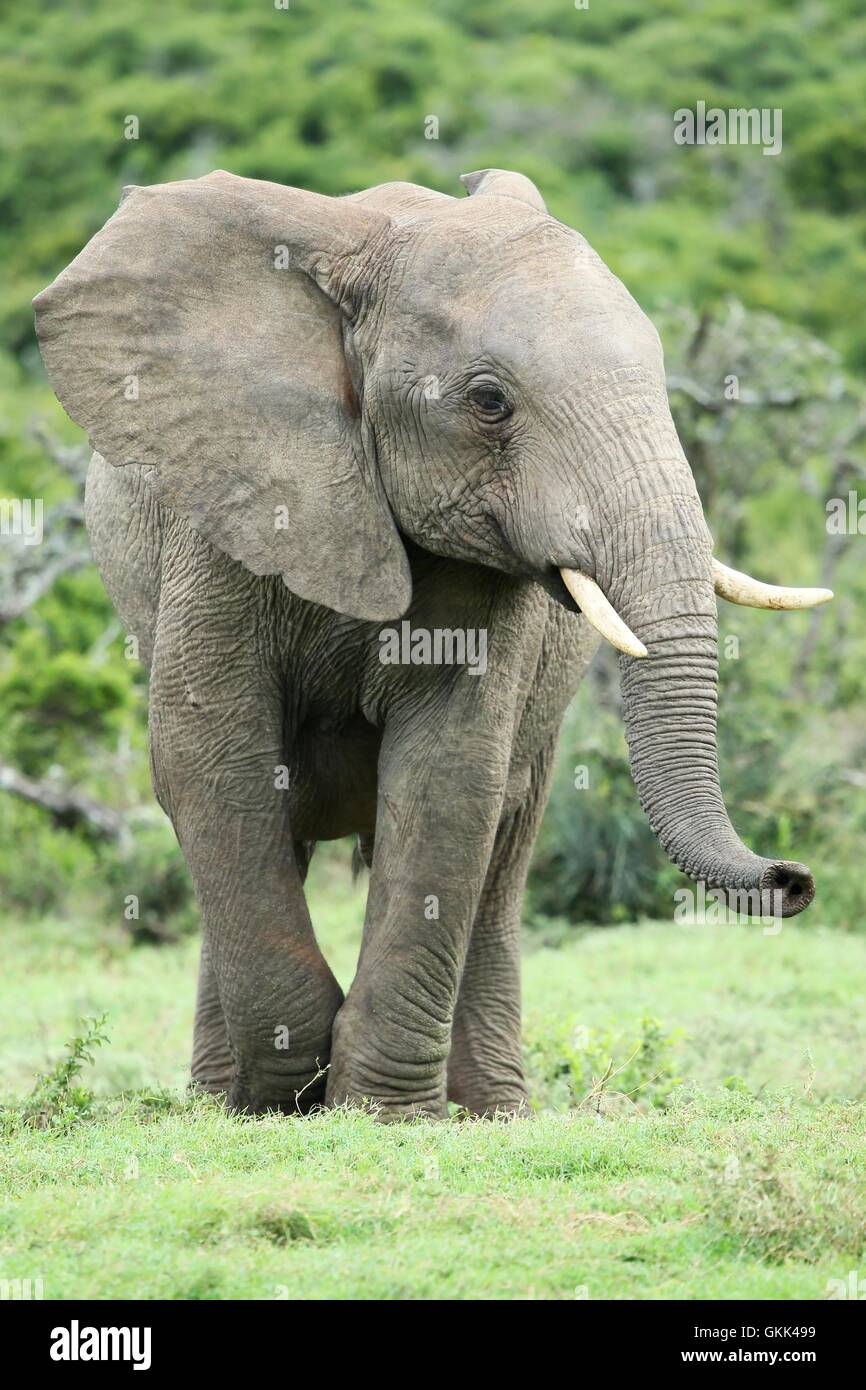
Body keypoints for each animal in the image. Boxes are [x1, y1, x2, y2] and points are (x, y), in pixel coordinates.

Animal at [33, 167, 832, 1119]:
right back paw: (221, 1099)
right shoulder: (220, 508)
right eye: (489, 402)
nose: (794, 879)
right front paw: (285, 1095)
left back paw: (494, 1114)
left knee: (507, 836)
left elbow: (447, 776)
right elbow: (211, 759)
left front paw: (377, 1111)